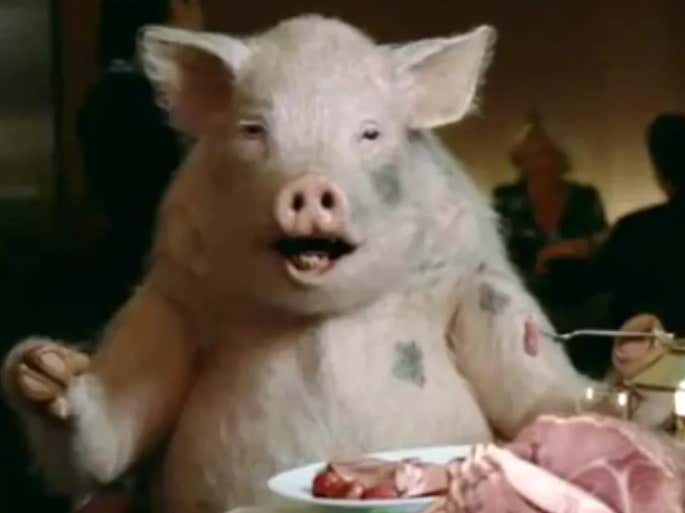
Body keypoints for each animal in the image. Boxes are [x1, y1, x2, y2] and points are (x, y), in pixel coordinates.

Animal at [1, 14, 593, 513]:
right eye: (253, 130)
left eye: (370, 132)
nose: (309, 185)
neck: (316, 319)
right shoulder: (170, 297)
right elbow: (109, 447)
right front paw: (46, 371)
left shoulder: (478, 286)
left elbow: (531, 398)